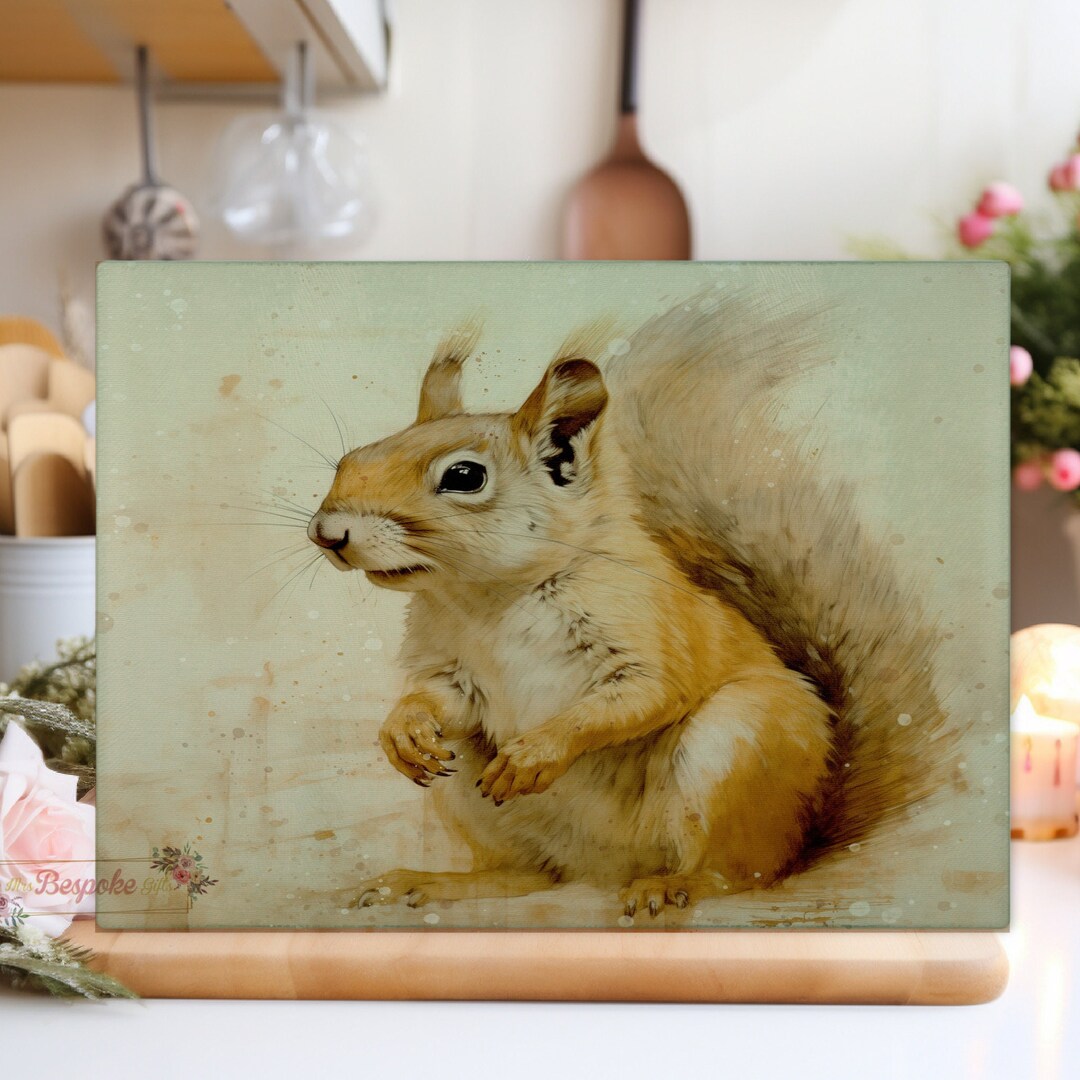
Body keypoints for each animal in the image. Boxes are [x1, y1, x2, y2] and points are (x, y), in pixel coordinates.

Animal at [307, 292, 957, 918]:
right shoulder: (453, 667)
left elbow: (642, 695)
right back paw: (428, 882)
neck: (492, 597)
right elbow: (443, 698)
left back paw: (671, 888)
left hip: (734, 743)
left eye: (464, 476)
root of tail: (606, 869)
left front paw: (536, 752)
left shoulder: (647, 629)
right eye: (350, 459)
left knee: (737, 874)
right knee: (531, 873)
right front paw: (404, 730)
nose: (326, 533)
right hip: (473, 792)